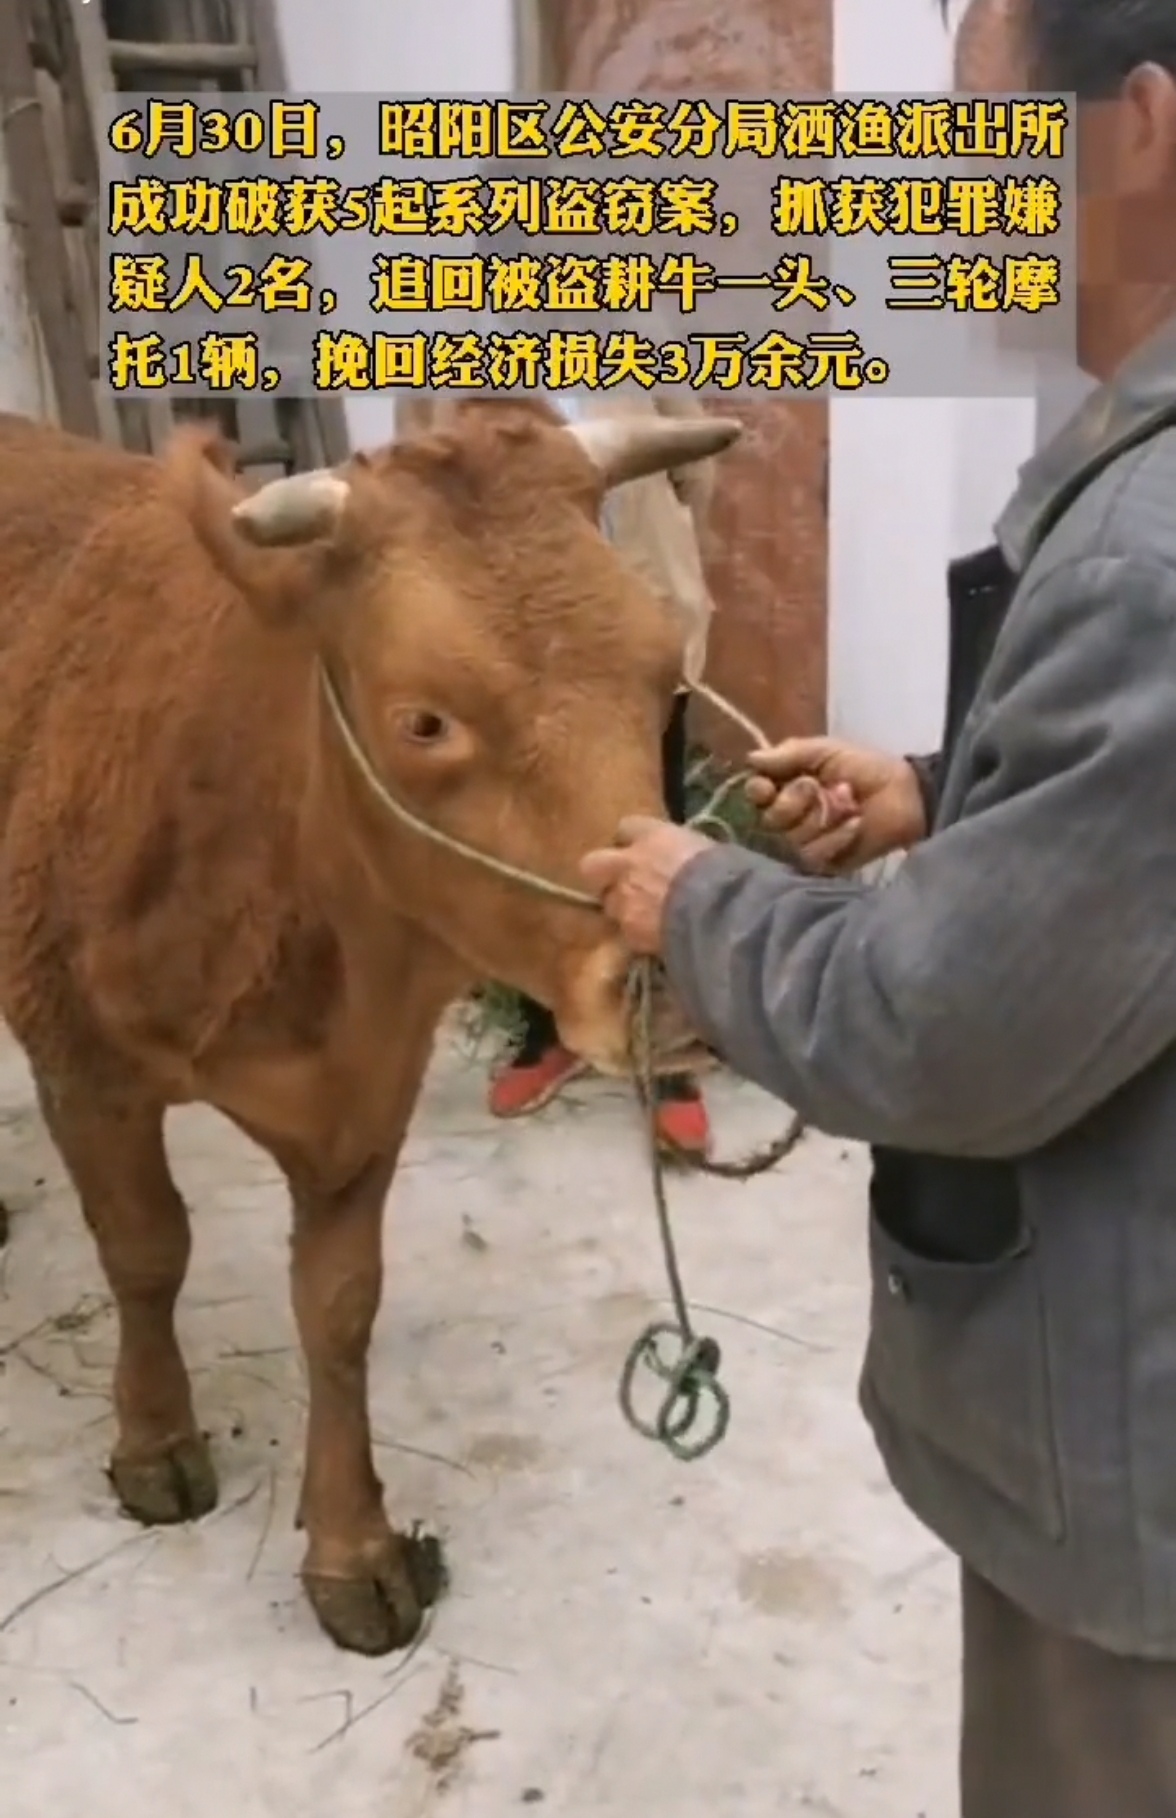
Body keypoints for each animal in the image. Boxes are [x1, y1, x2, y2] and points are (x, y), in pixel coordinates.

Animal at [0, 398, 740, 1654]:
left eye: (662, 673)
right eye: (425, 720)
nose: (675, 982)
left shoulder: (369, 1093)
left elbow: (339, 1310)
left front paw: (354, 1551)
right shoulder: (82, 1062)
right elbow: (144, 1252)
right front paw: (154, 1443)